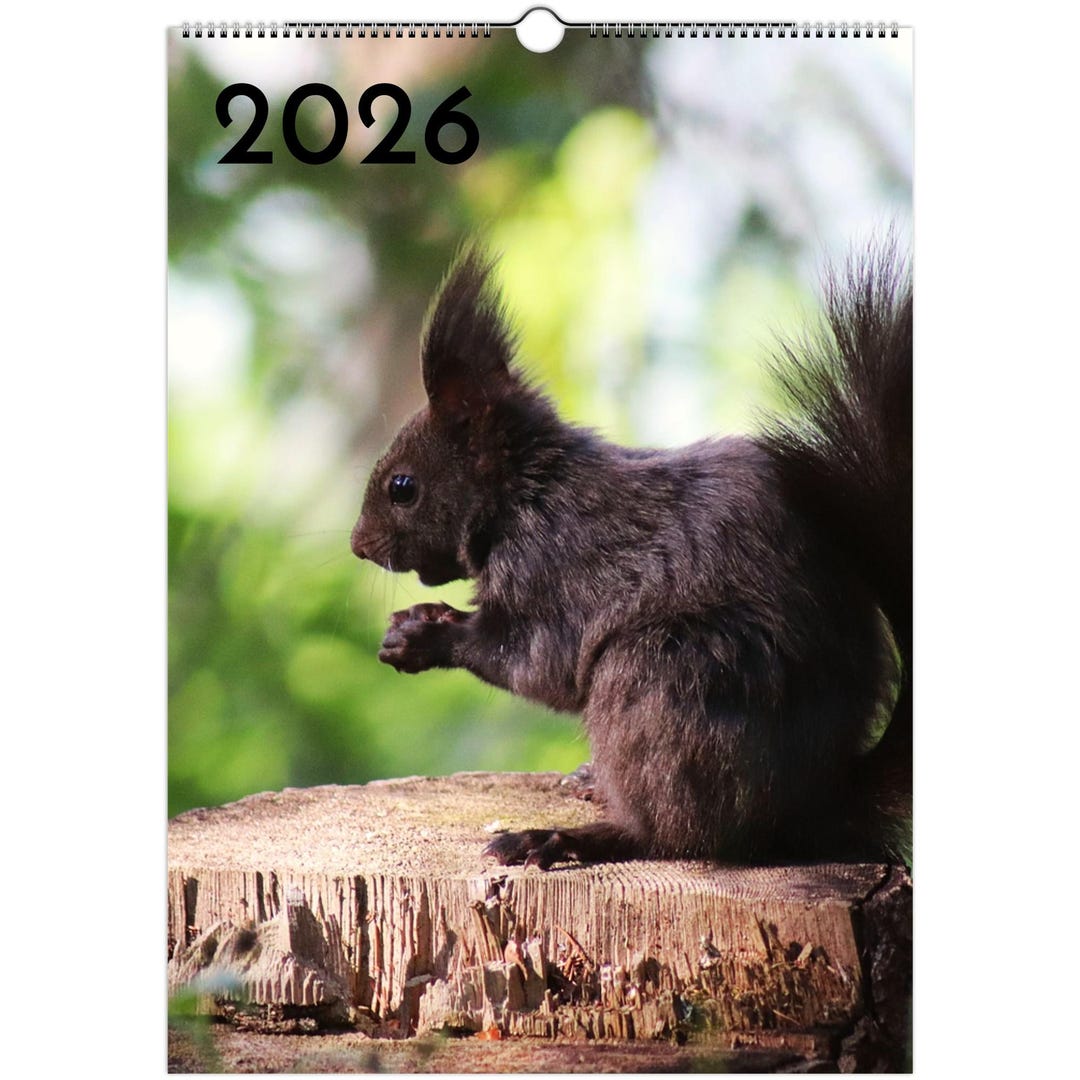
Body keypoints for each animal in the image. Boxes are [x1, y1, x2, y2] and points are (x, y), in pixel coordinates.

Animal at [350, 241, 911, 868]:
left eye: (403, 487)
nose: (358, 545)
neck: (526, 494)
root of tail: (820, 803)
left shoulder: (558, 571)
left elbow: (536, 662)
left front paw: (424, 635)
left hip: (665, 674)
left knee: (675, 836)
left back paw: (565, 836)